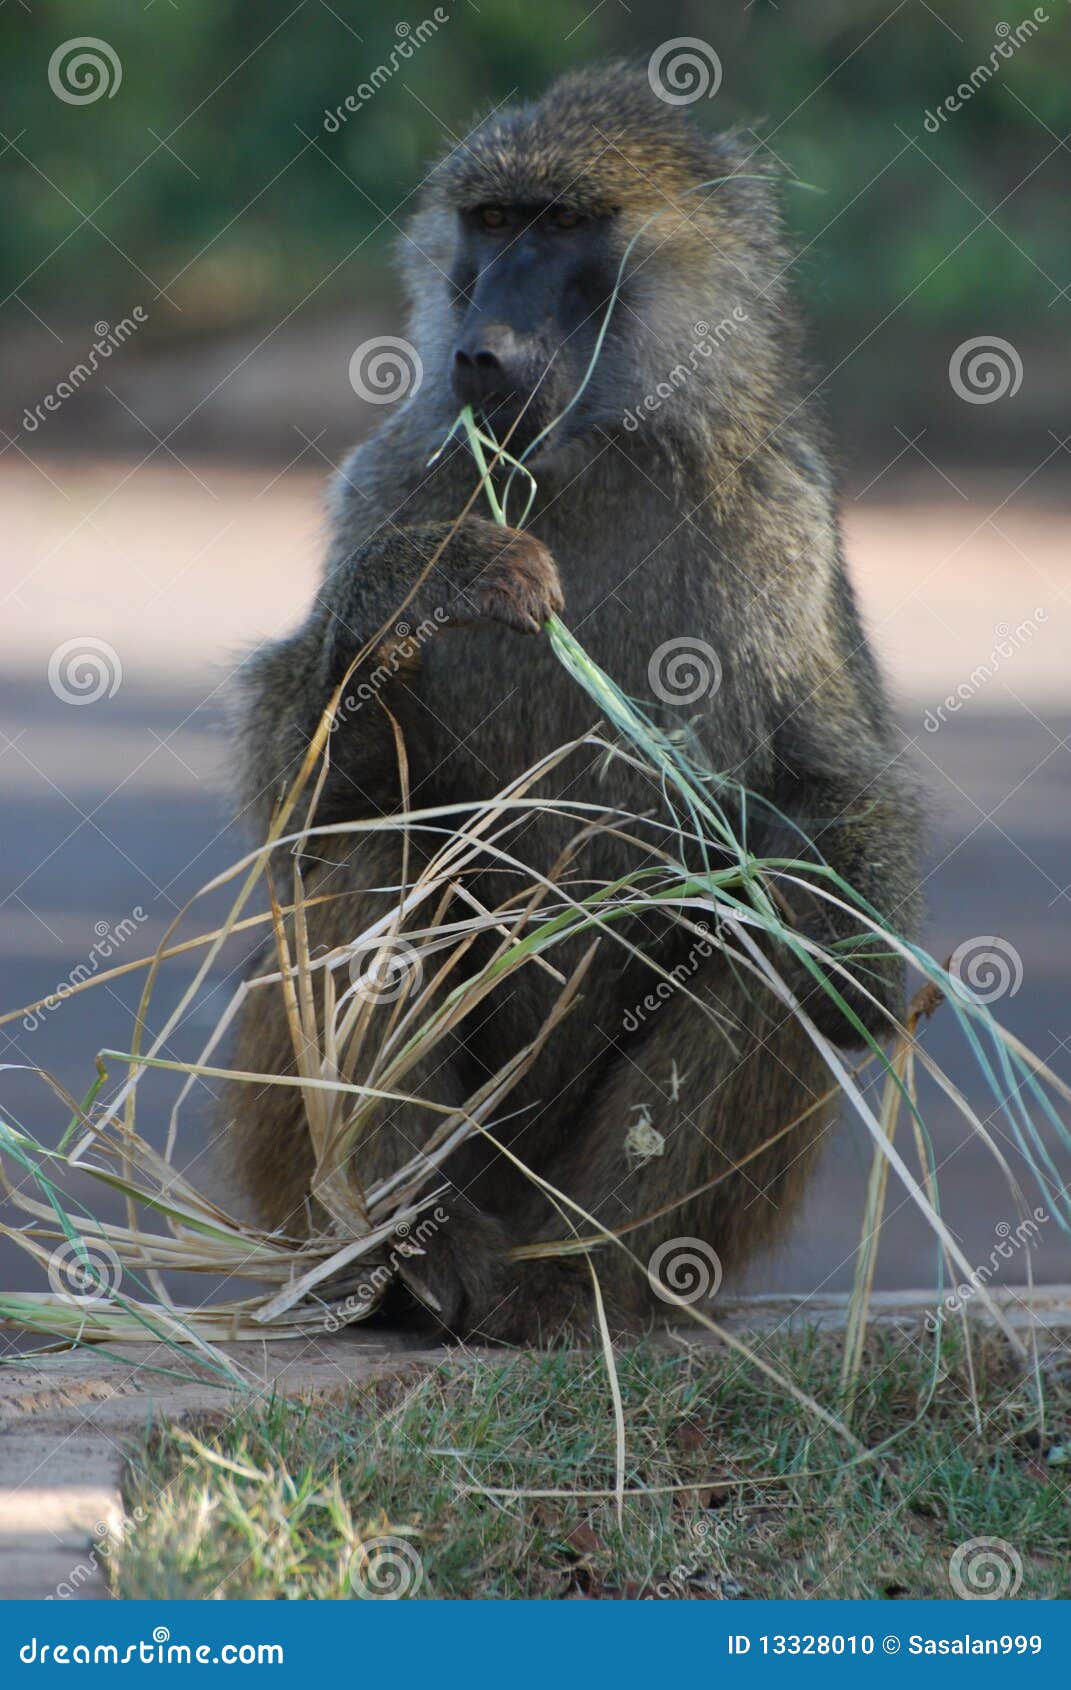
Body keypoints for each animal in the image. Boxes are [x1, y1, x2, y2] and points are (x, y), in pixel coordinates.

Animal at [222, 64, 922, 1343]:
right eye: (492, 223)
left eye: (558, 227)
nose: (483, 354)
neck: (588, 459)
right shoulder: (393, 480)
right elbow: (300, 815)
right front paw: (411, 599)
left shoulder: (782, 517)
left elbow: (825, 823)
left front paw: (826, 916)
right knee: (366, 850)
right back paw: (415, 1258)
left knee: (762, 928)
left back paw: (585, 1276)